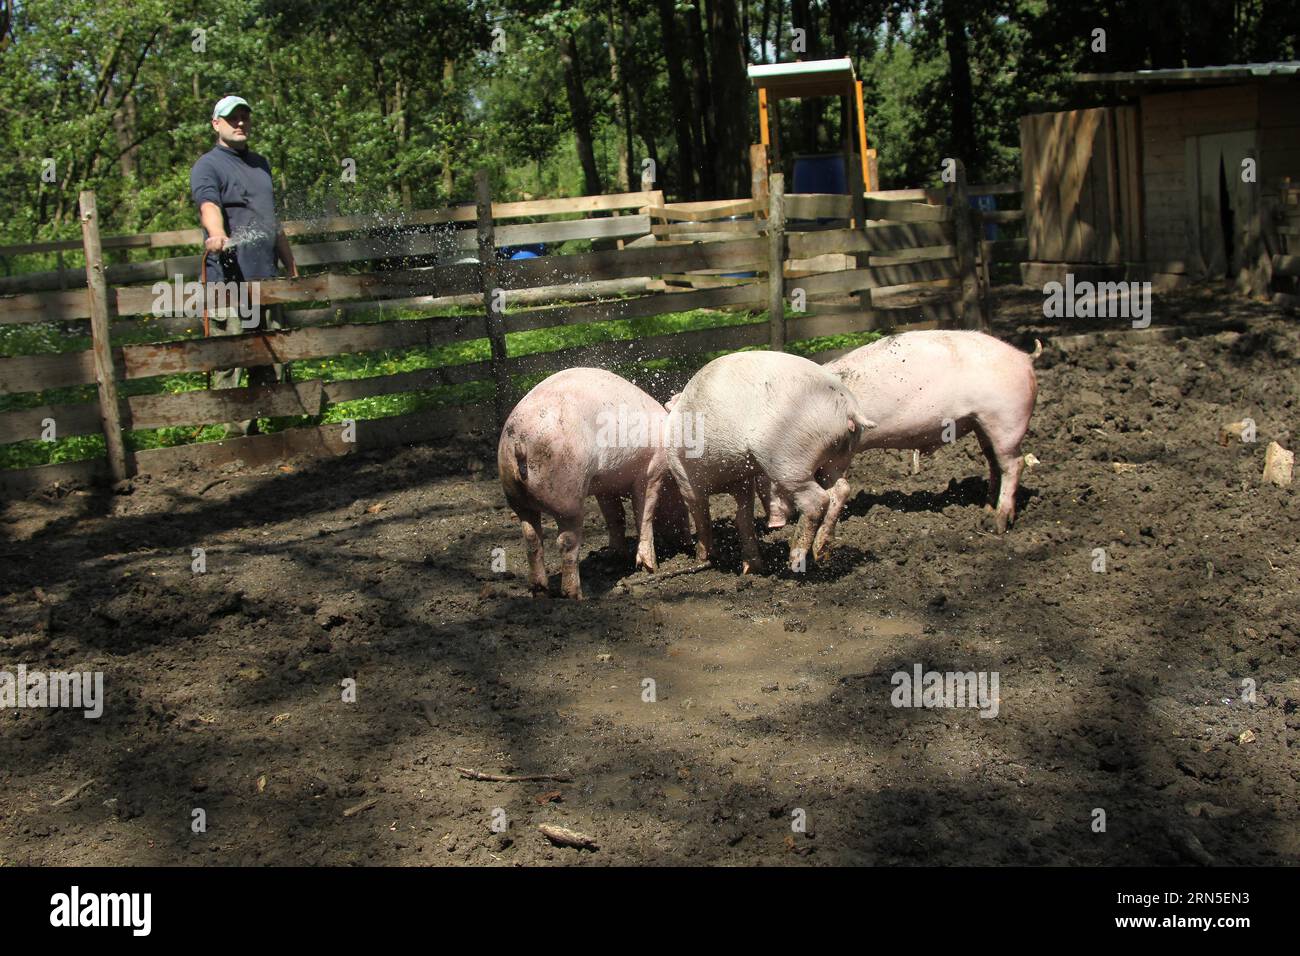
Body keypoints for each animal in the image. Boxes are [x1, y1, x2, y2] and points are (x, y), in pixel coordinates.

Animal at [497, 367, 690, 599]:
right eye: (680, 491)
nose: (688, 541)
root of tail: (520, 441)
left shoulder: (604, 485)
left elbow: (616, 517)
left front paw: (615, 556)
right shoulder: (652, 471)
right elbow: (643, 515)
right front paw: (650, 568)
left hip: (515, 495)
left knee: (532, 538)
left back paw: (540, 593)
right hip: (568, 494)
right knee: (566, 542)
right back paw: (576, 595)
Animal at [659, 351, 875, 574]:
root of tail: (848, 408)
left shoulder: (684, 476)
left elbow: (702, 516)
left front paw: (701, 559)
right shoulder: (742, 479)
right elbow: (743, 518)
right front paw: (751, 568)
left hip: (788, 458)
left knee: (817, 500)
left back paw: (795, 560)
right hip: (837, 456)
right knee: (841, 489)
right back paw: (821, 553)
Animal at [817, 330, 1039, 533]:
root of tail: (1024, 357)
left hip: (1005, 420)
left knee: (1014, 464)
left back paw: (998, 524)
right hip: (982, 424)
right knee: (994, 463)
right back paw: (986, 512)